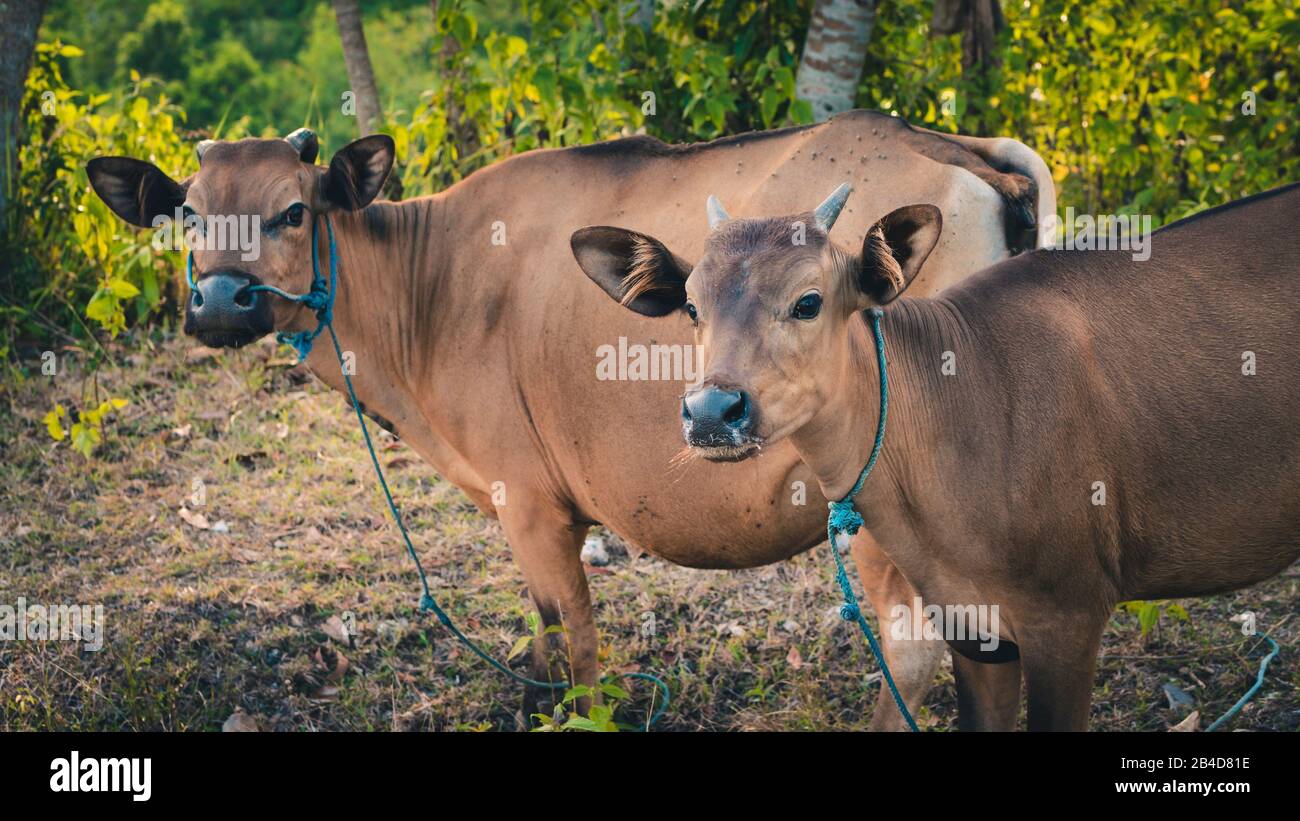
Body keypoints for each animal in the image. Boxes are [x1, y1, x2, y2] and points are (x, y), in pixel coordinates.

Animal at [86, 110, 1055, 728]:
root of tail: (960, 151)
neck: (428, 286)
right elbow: (546, 648)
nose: (220, 301)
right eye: (187, 214)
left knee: (919, 650)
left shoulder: (531, 502)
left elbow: (576, 652)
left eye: (292, 210)